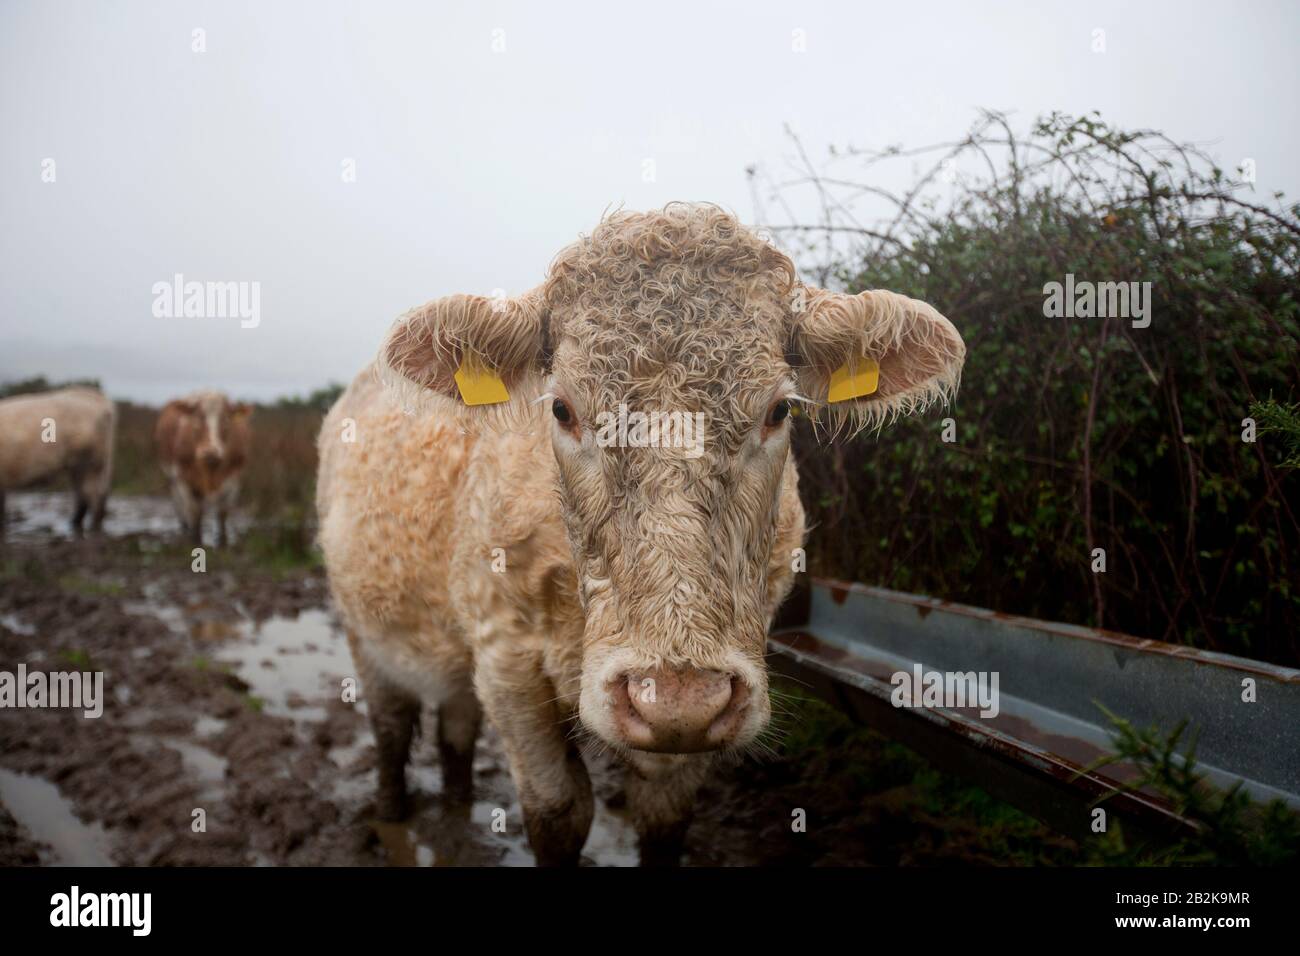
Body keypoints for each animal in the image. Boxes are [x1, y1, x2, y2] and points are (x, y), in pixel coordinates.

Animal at [154, 391, 251, 547]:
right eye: (197, 418)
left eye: (225, 419)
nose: (210, 451)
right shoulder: (184, 478)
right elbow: (195, 512)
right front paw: (195, 540)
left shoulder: (234, 479)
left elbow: (222, 513)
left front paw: (223, 542)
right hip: (172, 478)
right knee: (179, 504)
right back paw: (184, 527)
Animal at [316, 204, 965, 866]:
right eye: (562, 410)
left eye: (780, 410)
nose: (676, 694)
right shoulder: (506, 661)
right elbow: (558, 811)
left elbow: (664, 814)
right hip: (364, 629)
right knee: (391, 723)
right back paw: (392, 814)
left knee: (454, 724)